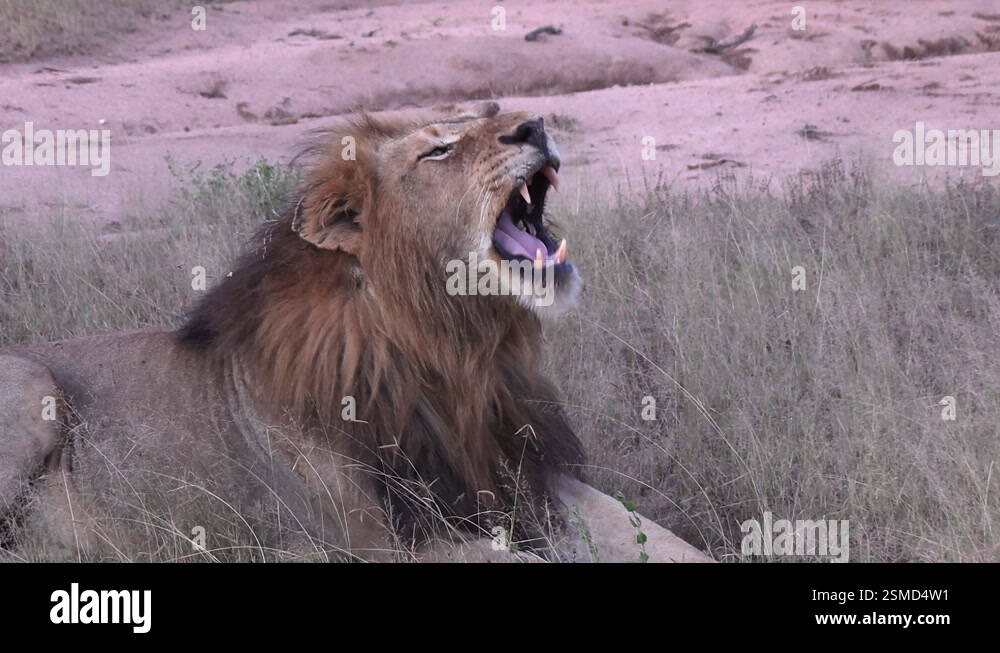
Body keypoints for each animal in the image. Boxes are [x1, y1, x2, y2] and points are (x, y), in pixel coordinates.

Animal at [0, 103, 710, 562]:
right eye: (439, 149)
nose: (535, 125)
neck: (452, 346)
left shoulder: (516, 473)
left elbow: (658, 536)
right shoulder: (376, 536)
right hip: (32, 387)